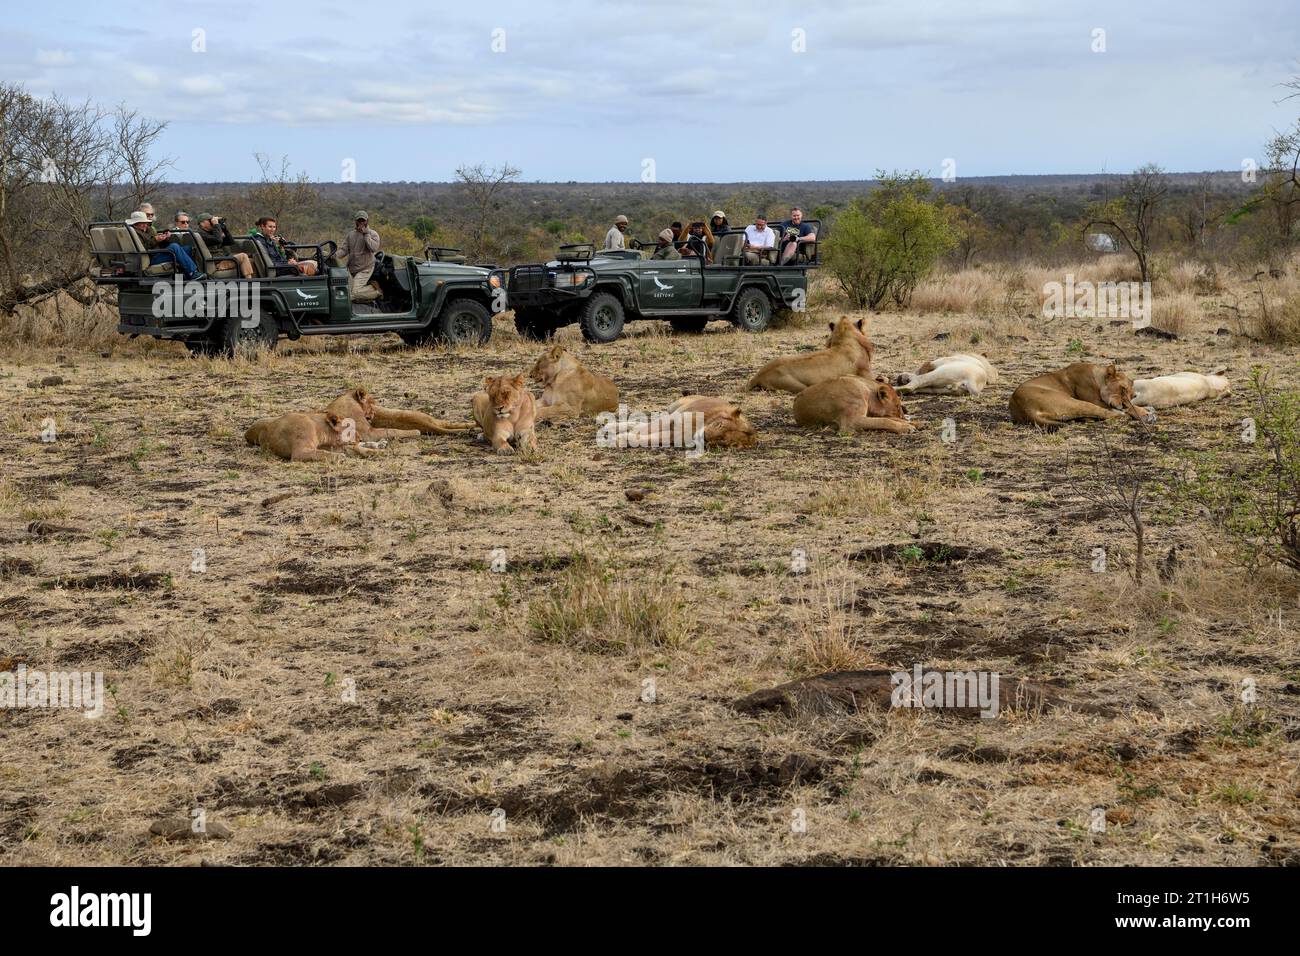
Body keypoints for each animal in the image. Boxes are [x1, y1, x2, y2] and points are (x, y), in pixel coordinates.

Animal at [1009, 363, 1155, 427]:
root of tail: (1022, 407)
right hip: (1074, 402)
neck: (1098, 378)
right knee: (1108, 414)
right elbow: (1131, 408)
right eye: (1122, 388)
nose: (1123, 405)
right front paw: (1145, 413)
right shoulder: (1094, 399)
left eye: (1132, 395)